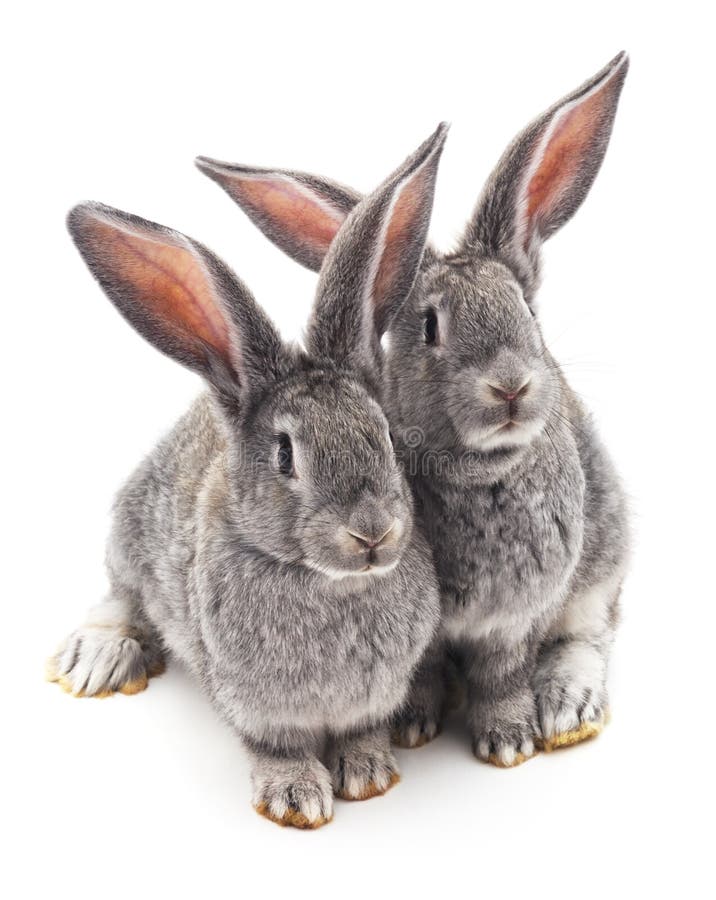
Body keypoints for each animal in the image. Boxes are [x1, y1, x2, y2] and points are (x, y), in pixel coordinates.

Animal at [47, 126, 447, 828]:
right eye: (285, 455)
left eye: (386, 436)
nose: (371, 532)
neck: (328, 584)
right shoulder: (253, 702)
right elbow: (275, 746)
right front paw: (296, 797)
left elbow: (362, 731)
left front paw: (368, 771)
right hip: (128, 539)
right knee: (121, 597)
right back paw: (95, 659)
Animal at [195, 52, 631, 766]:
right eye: (429, 327)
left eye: (526, 310)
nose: (510, 386)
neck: (483, 470)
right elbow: (420, 674)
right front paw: (412, 728)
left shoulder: (518, 614)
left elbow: (505, 673)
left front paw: (509, 740)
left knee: (588, 634)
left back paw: (567, 708)